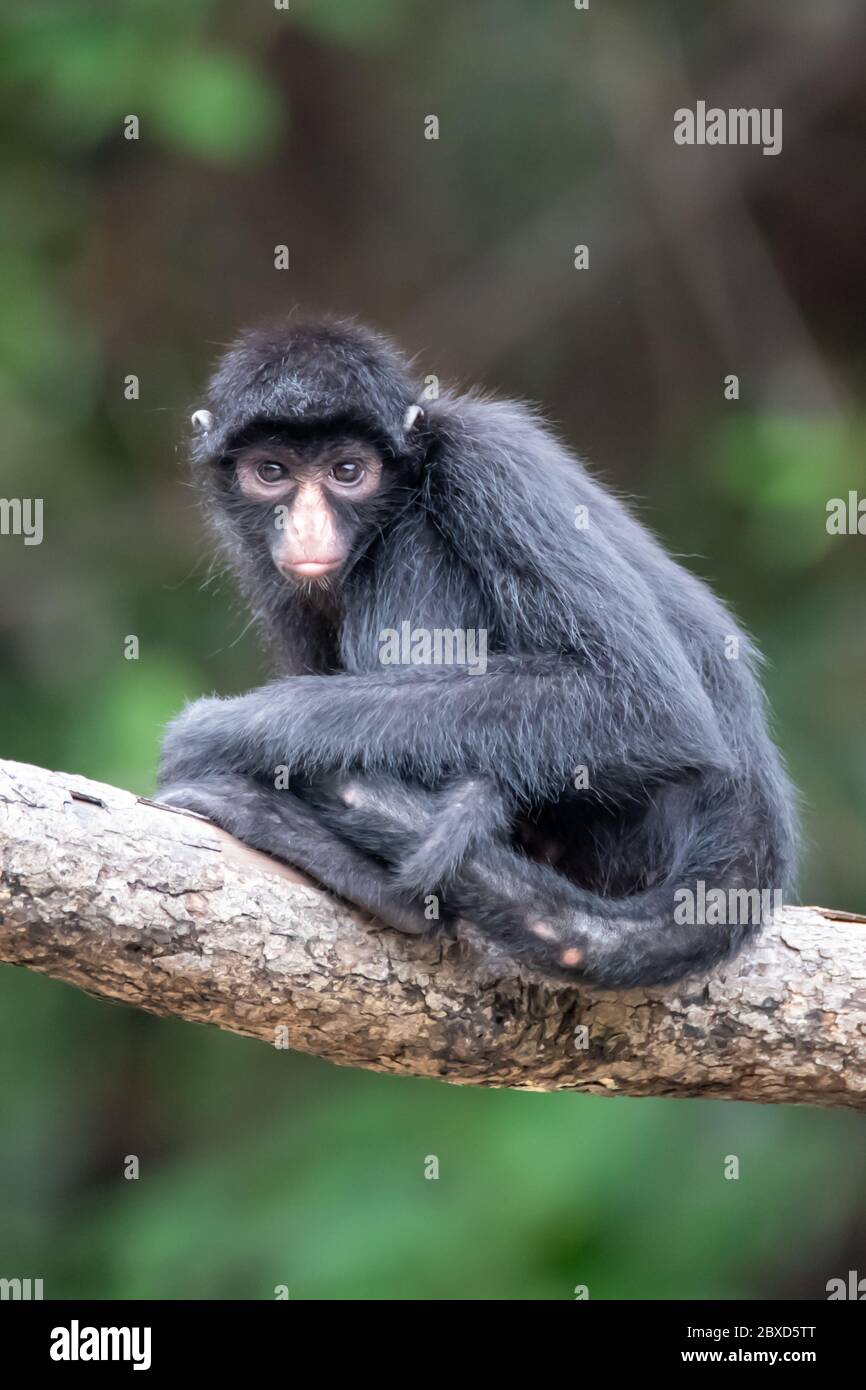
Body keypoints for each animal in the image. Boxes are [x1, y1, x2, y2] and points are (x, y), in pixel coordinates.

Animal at [157, 316, 798, 988]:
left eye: (348, 471)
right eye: (272, 472)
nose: (306, 527)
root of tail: (753, 810)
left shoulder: (489, 457)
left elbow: (652, 706)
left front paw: (220, 733)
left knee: (413, 536)